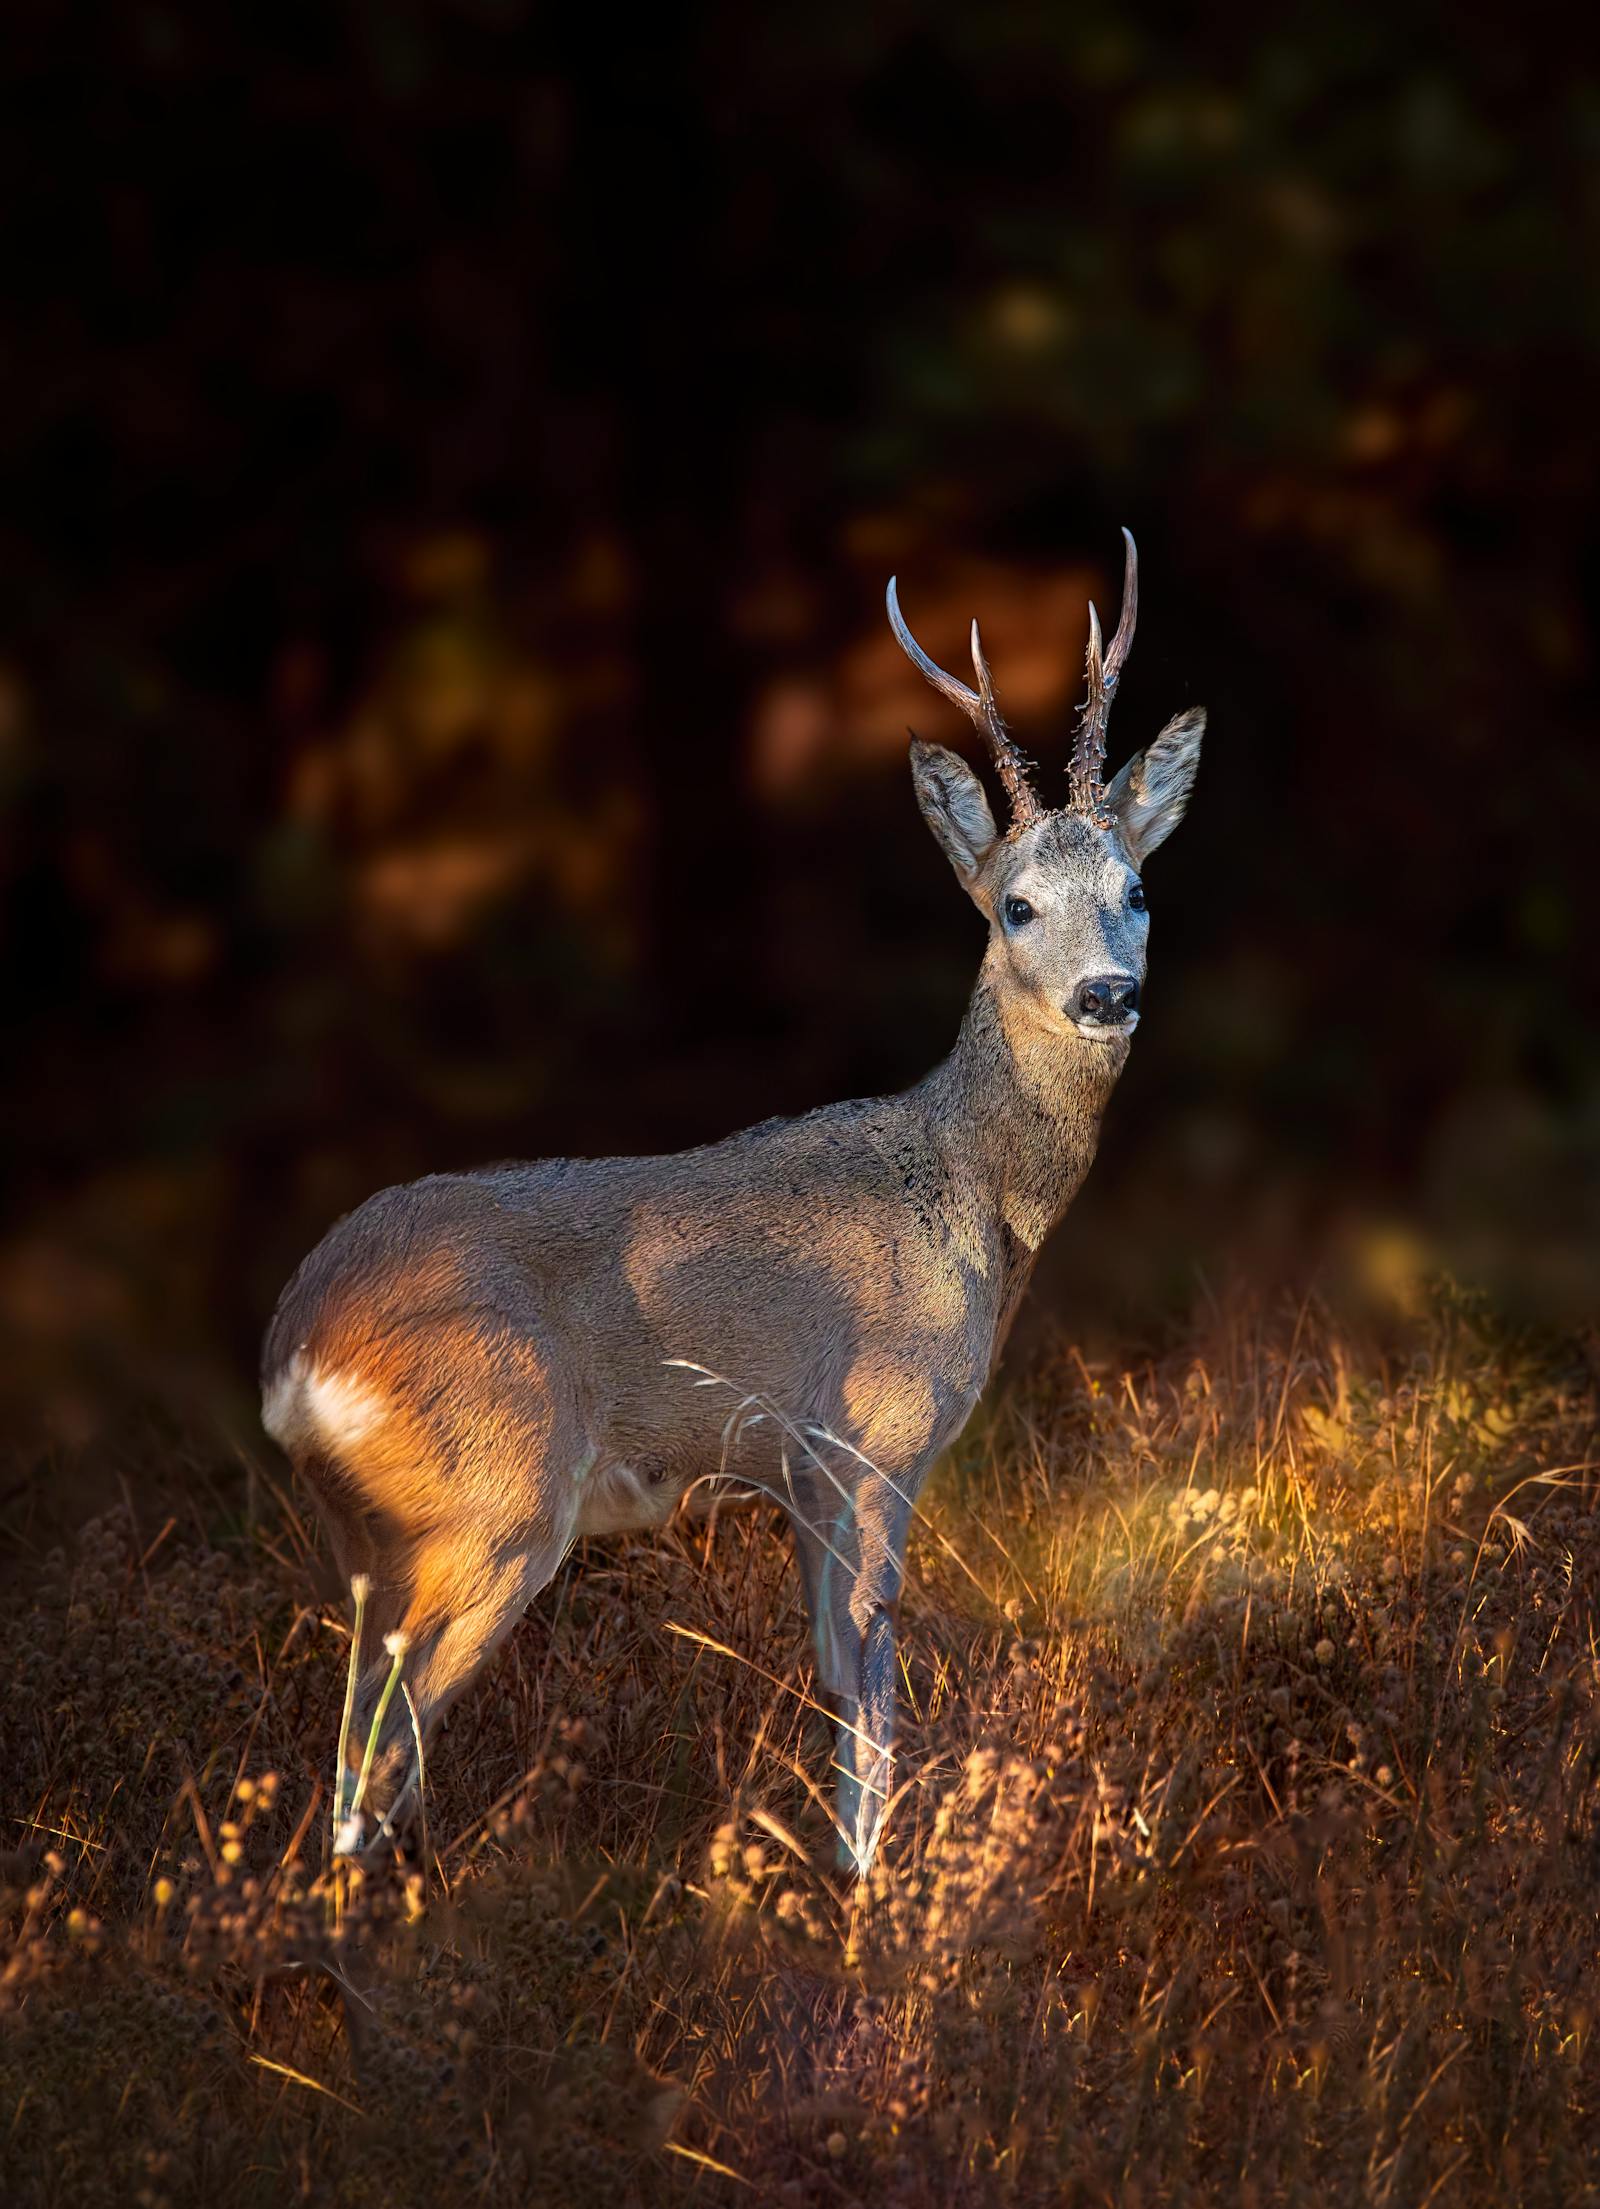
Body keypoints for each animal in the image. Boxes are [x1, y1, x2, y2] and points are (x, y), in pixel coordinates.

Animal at [261, 531, 1204, 1876]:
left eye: (1137, 888)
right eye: (1016, 904)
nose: (1106, 995)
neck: (969, 1195)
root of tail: (294, 1351)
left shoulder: (800, 1472)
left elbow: (833, 1683)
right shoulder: (872, 1437)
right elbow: (871, 1700)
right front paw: (869, 1894)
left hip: (370, 1540)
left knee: (351, 1734)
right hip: (496, 1496)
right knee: (378, 1748)